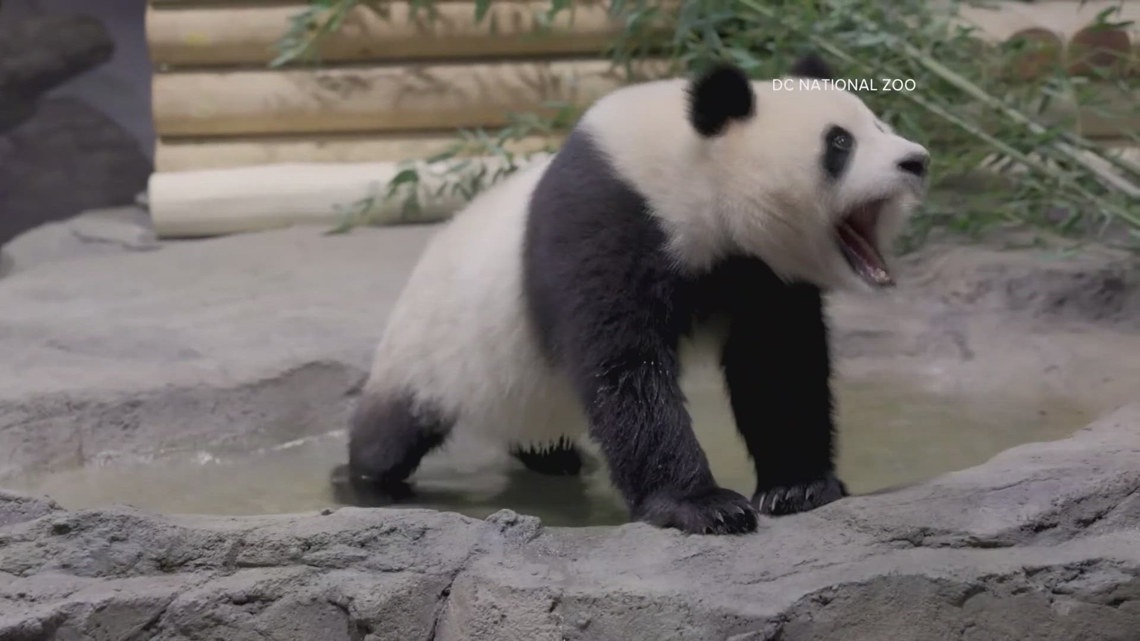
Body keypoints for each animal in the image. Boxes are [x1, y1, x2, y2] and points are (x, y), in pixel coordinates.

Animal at [335, 53, 930, 535]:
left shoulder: (760, 271)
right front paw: (703, 506)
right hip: (430, 347)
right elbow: (624, 363)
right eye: (839, 142)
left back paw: (555, 459)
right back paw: (367, 482)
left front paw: (799, 486)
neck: (689, 172)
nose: (917, 161)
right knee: (391, 433)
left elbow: (777, 362)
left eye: (879, 123)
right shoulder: (610, 214)